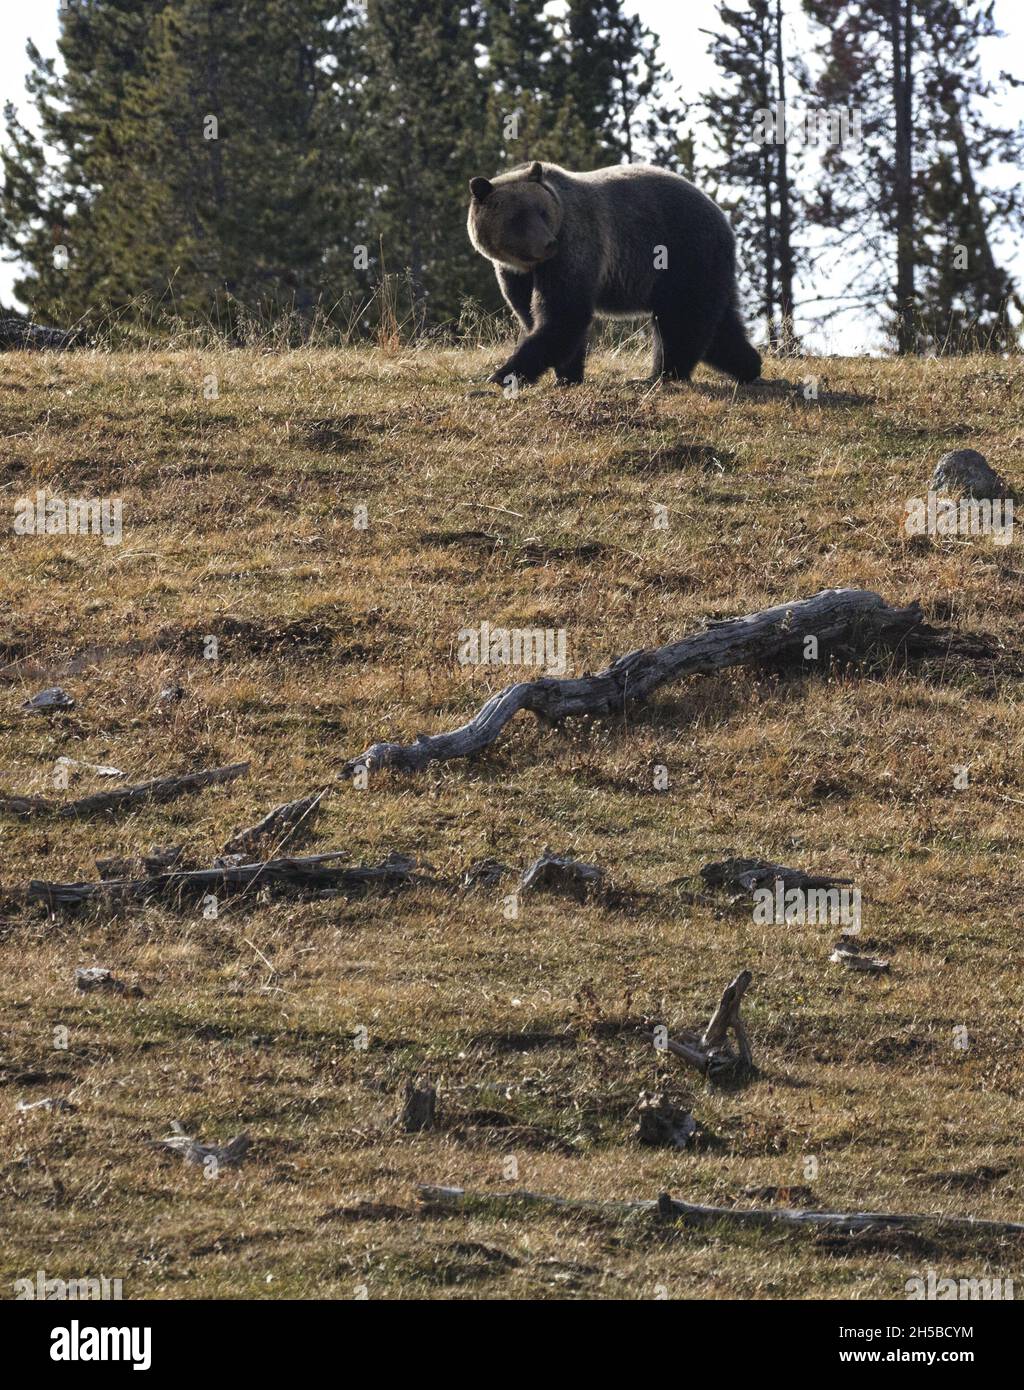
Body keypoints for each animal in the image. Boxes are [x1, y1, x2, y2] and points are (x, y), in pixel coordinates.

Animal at [467, 160, 761, 388]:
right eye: (516, 218)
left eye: (542, 212)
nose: (548, 243)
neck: (530, 264)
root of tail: (721, 215)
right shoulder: (515, 273)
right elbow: (532, 314)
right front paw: (568, 374)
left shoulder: (574, 246)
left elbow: (564, 314)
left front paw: (502, 374)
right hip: (703, 266)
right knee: (719, 325)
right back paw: (749, 365)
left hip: (683, 253)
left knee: (682, 319)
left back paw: (660, 375)